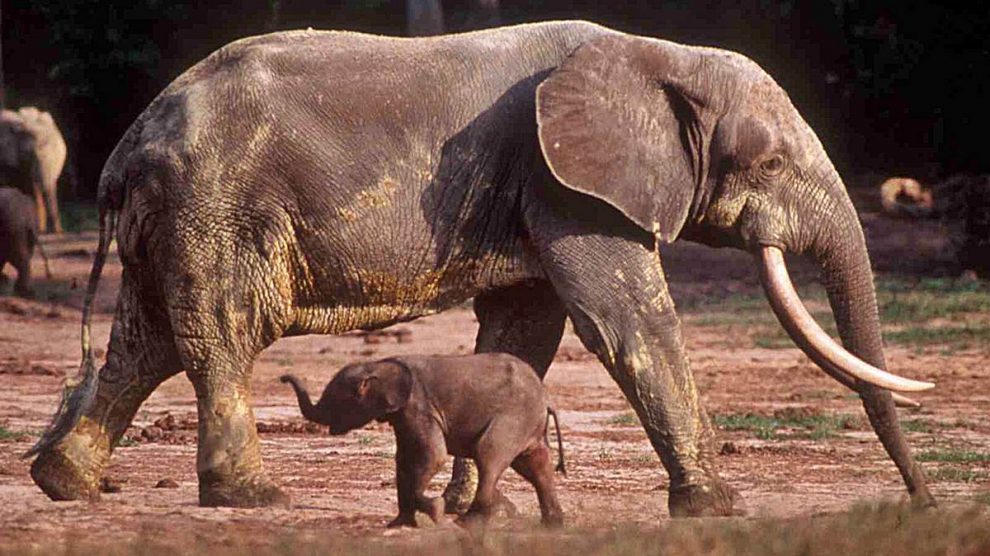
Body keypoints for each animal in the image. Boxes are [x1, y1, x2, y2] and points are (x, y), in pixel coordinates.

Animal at [281, 353, 566, 527]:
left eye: (336, 401)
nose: (283, 377)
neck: (379, 365)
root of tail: (546, 398)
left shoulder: (419, 407)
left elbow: (432, 455)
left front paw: (436, 510)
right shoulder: (403, 415)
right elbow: (404, 459)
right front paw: (400, 524)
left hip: (513, 417)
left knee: (489, 454)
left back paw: (465, 523)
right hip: (527, 424)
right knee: (536, 464)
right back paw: (552, 526)